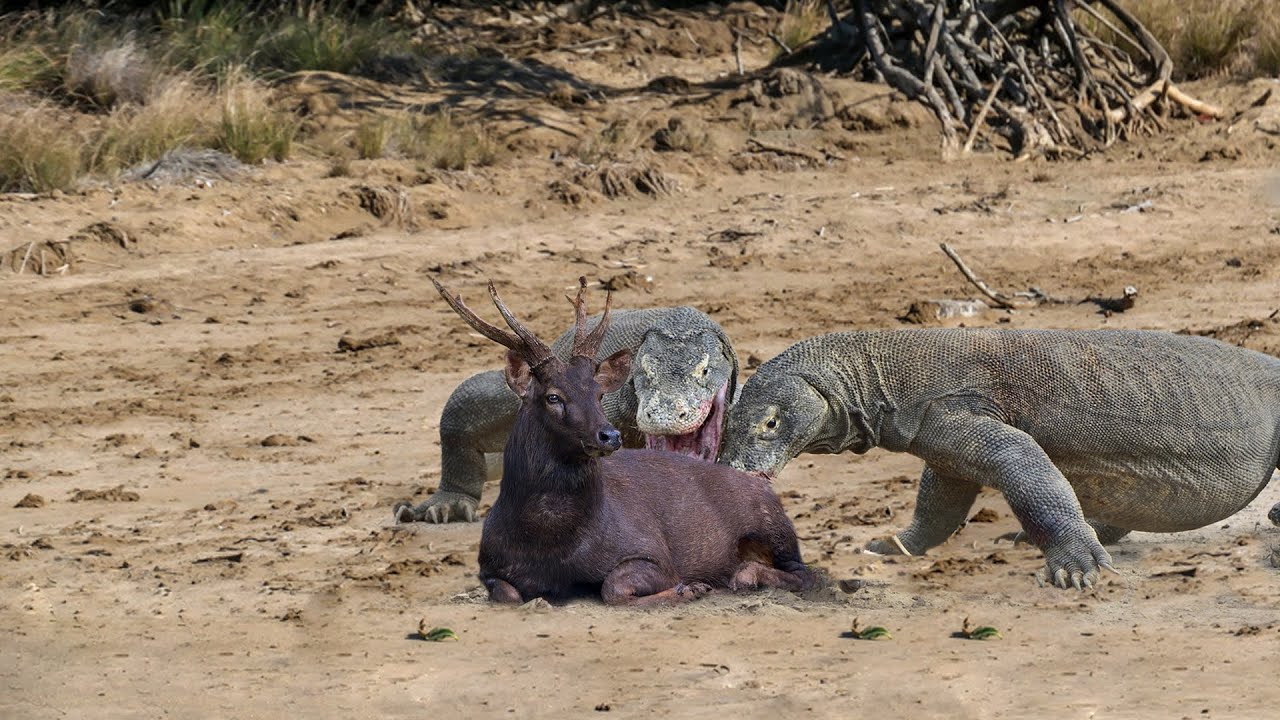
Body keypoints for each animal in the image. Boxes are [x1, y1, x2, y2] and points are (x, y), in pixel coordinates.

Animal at [432, 277, 814, 606]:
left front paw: (690, 588)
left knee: (805, 573)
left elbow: (613, 587)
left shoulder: (654, 555)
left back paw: (745, 575)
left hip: (773, 529)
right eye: (553, 396)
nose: (609, 435)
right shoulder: (489, 568)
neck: (551, 538)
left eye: (599, 393)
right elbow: (507, 593)